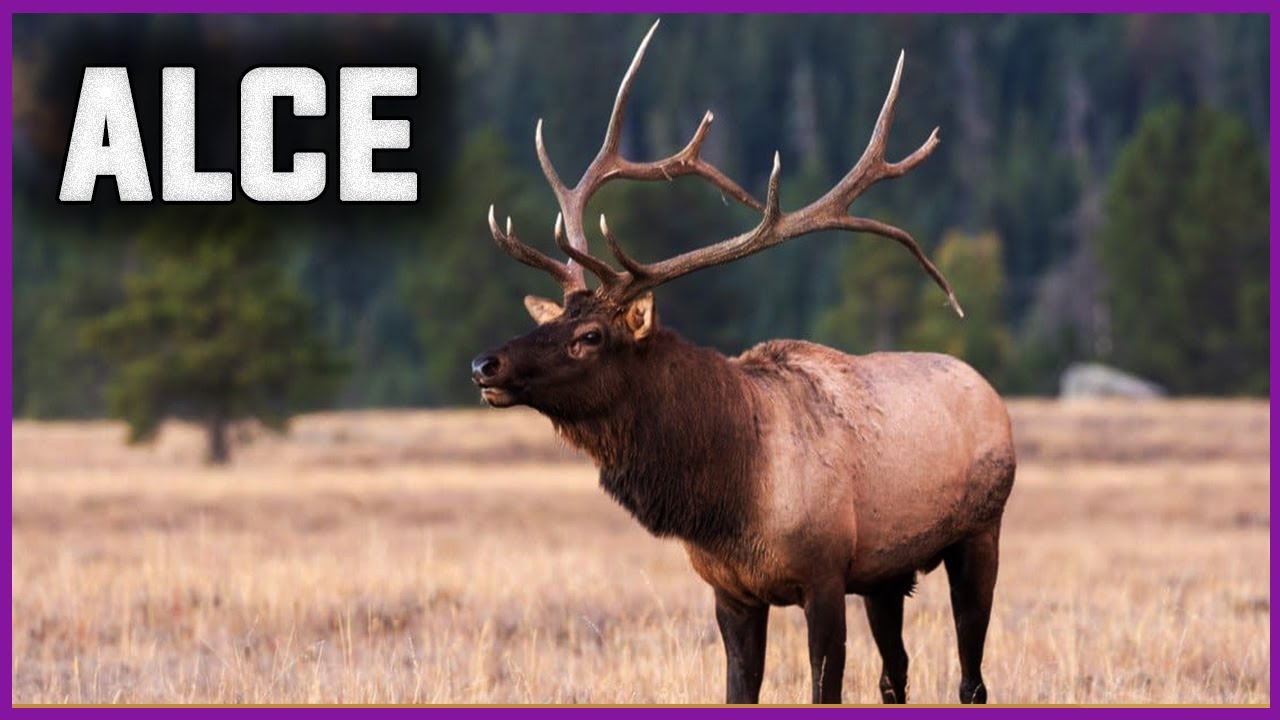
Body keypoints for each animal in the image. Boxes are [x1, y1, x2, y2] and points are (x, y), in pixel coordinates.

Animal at [470, 21, 1015, 705]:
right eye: (550, 322)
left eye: (590, 335)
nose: (485, 364)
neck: (729, 498)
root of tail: (990, 392)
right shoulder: (730, 591)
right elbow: (739, 689)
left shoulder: (824, 575)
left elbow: (825, 688)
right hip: (887, 574)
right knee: (896, 675)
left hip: (980, 531)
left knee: (972, 678)